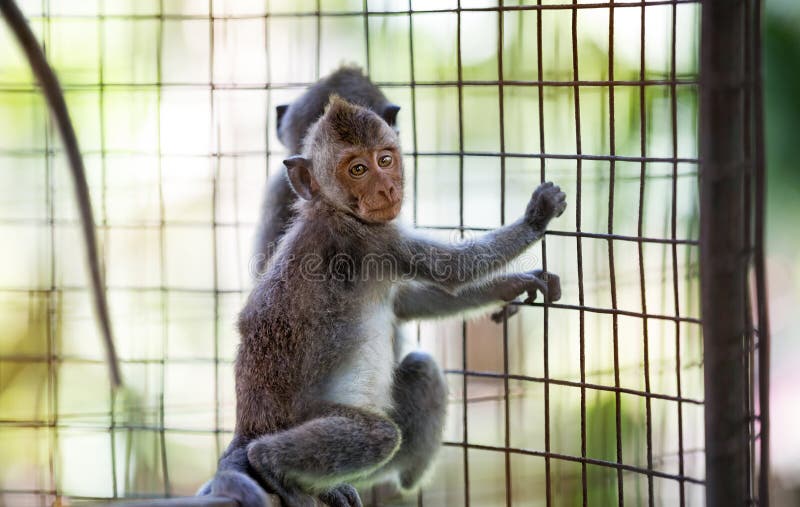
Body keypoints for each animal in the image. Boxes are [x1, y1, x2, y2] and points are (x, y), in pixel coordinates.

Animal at [200, 96, 566, 507]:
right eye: (358, 169)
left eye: (385, 159)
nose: (387, 188)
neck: (332, 209)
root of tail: (245, 429)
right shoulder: (375, 241)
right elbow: (453, 270)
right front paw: (536, 217)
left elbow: (406, 303)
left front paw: (514, 283)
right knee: (379, 435)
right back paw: (271, 464)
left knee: (422, 368)